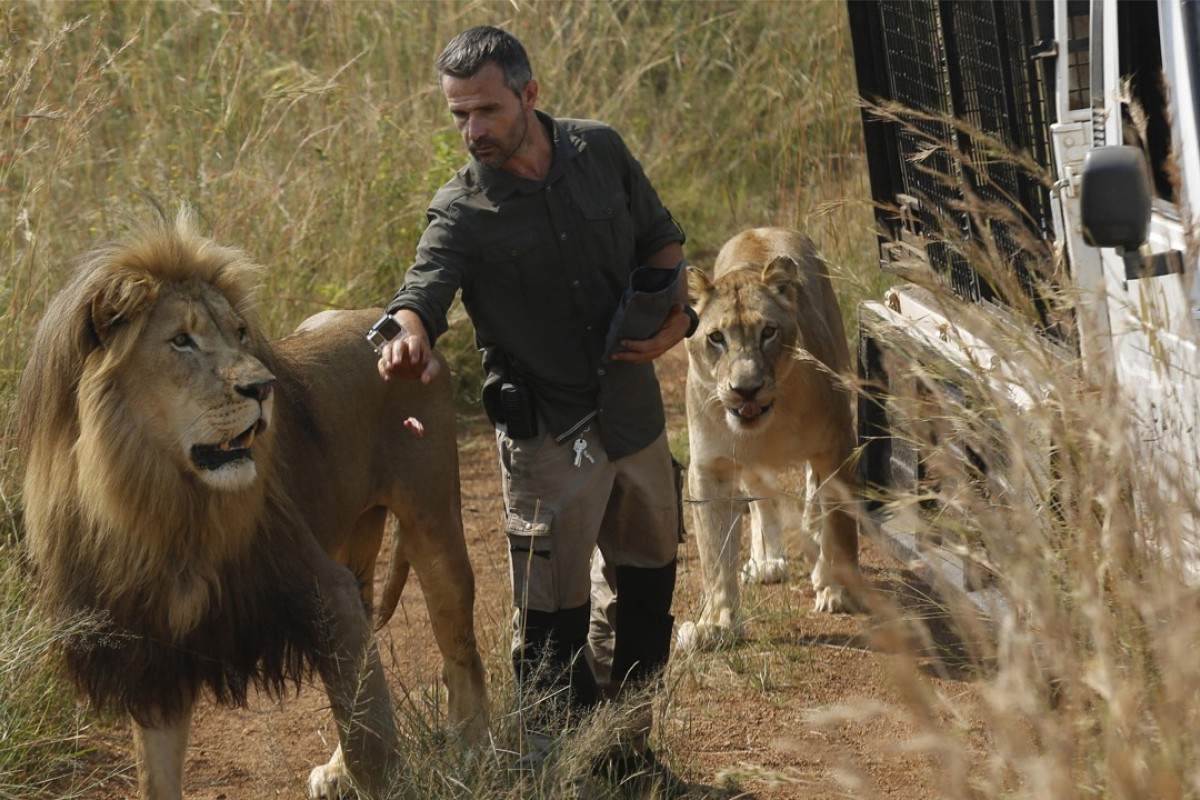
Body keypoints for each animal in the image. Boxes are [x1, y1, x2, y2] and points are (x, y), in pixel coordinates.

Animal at [16, 209, 488, 800]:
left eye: (240, 334)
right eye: (181, 341)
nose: (265, 388)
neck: (163, 501)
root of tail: (404, 336)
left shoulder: (318, 587)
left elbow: (371, 738)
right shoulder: (156, 649)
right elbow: (156, 774)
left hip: (433, 522)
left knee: (460, 653)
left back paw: (474, 752)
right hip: (356, 545)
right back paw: (339, 771)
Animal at [677, 227, 860, 650]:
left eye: (768, 333)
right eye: (716, 338)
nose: (746, 389)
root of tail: (761, 229)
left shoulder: (837, 443)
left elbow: (840, 523)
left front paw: (838, 590)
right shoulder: (711, 469)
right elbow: (715, 553)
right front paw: (716, 624)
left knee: (813, 491)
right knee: (762, 502)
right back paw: (767, 562)